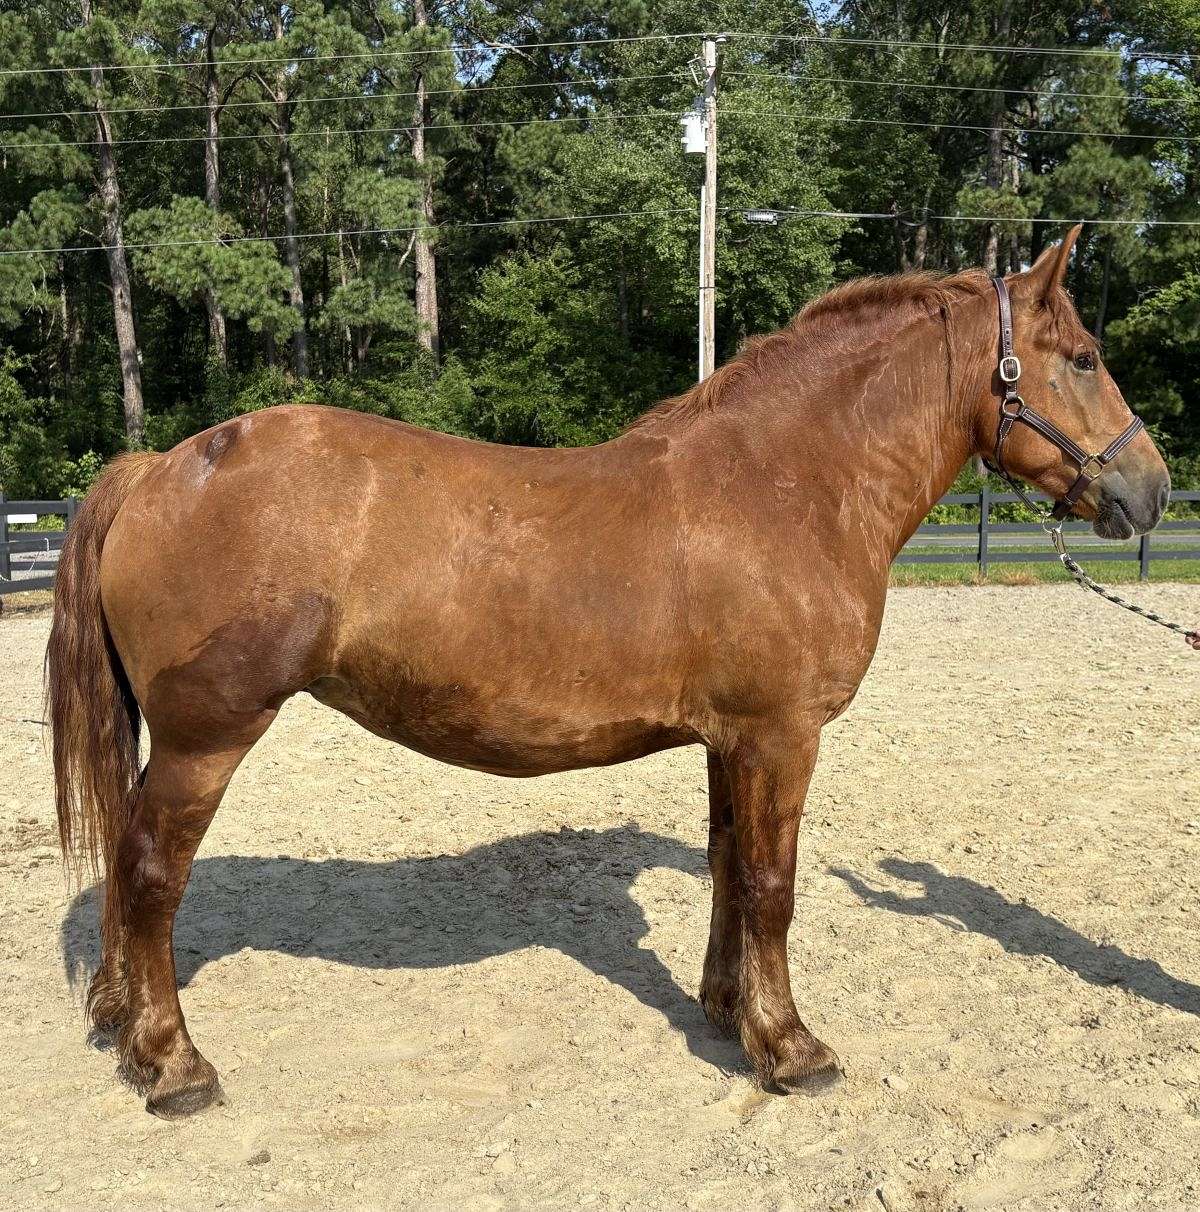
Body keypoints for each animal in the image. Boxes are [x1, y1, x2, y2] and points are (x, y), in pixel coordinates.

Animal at [48, 225, 1170, 1118]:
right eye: (1081, 356)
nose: (1150, 489)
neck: (784, 484)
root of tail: (161, 467)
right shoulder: (782, 737)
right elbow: (773, 886)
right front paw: (792, 1049)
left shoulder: (733, 741)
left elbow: (728, 868)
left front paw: (729, 1014)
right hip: (205, 739)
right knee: (149, 874)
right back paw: (173, 1064)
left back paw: (118, 1025)